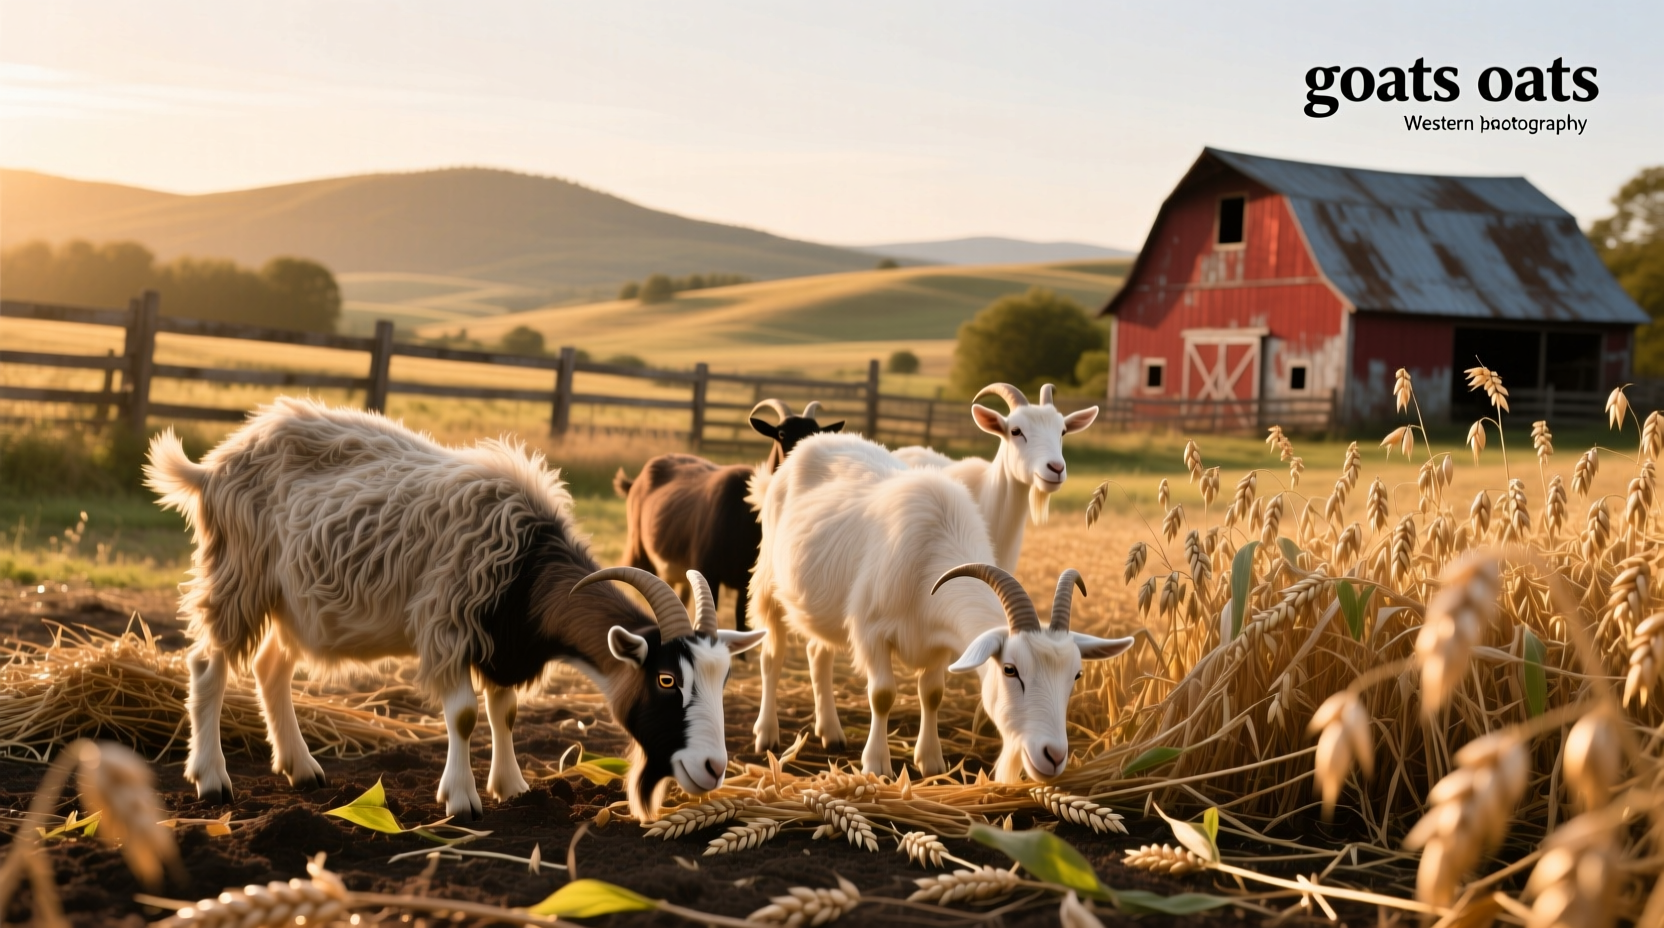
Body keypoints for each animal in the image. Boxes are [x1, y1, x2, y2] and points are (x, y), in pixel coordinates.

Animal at [144, 398, 764, 821]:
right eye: (666, 680)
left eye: (722, 678)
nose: (713, 769)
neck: (526, 563)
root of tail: (213, 467)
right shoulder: (448, 625)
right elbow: (464, 715)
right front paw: (462, 800)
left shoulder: (501, 640)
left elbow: (504, 711)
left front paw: (511, 787)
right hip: (239, 576)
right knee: (208, 665)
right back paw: (212, 779)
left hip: (292, 601)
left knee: (271, 667)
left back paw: (302, 770)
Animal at [613, 399, 841, 632]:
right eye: (782, 433)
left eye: (817, 433)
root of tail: (635, 482)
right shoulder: (708, 572)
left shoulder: (745, 582)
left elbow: (741, 623)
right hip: (640, 550)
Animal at [747, 433, 1132, 779]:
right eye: (1010, 670)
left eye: (1076, 674)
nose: (1053, 755)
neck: (933, 552)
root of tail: (812, 441)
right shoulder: (871, 632)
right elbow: (882, 695)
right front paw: (877, 765)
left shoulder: (940, 641)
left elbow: (932, 694)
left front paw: (931, 761)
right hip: (767, 580)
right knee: (772, 656)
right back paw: (766, 734)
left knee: (819, 653)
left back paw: (830, 732)